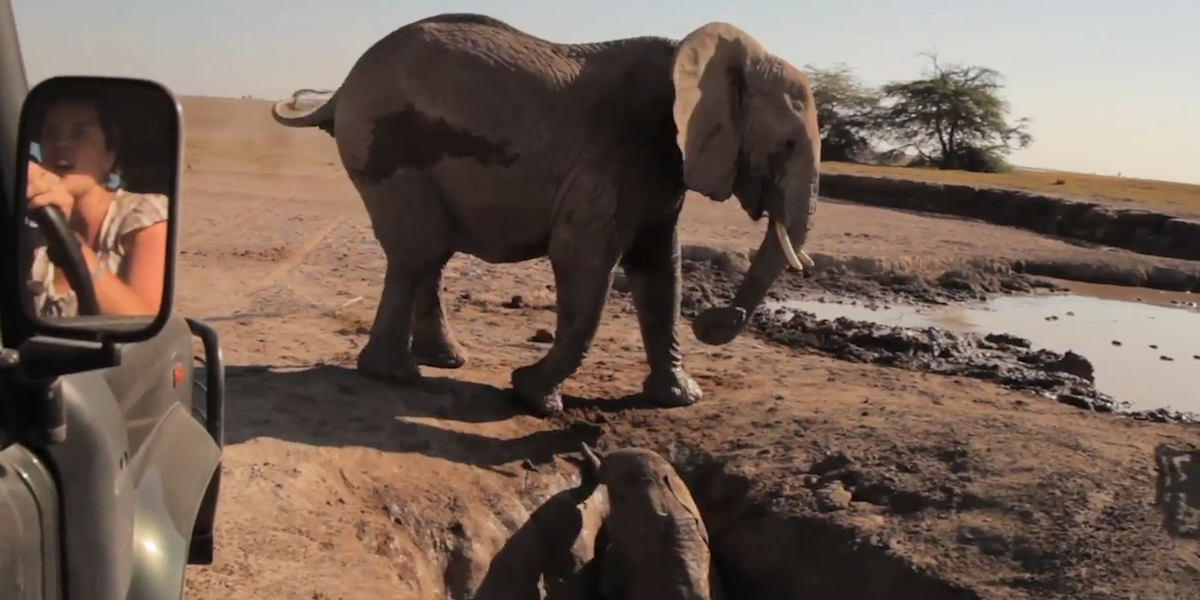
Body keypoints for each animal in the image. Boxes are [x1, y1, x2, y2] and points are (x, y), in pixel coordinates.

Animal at [270, 13, 819, 417]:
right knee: (417, 251)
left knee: (430, 254)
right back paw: (396, 375)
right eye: (788, 144)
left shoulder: (664, 166)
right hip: (387, 143)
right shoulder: (615, 156)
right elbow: (583, 261)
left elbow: (661, 270)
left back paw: (442, 361)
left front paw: (679, 400)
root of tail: (342, 87)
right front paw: (533, 397)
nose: (713, 321)